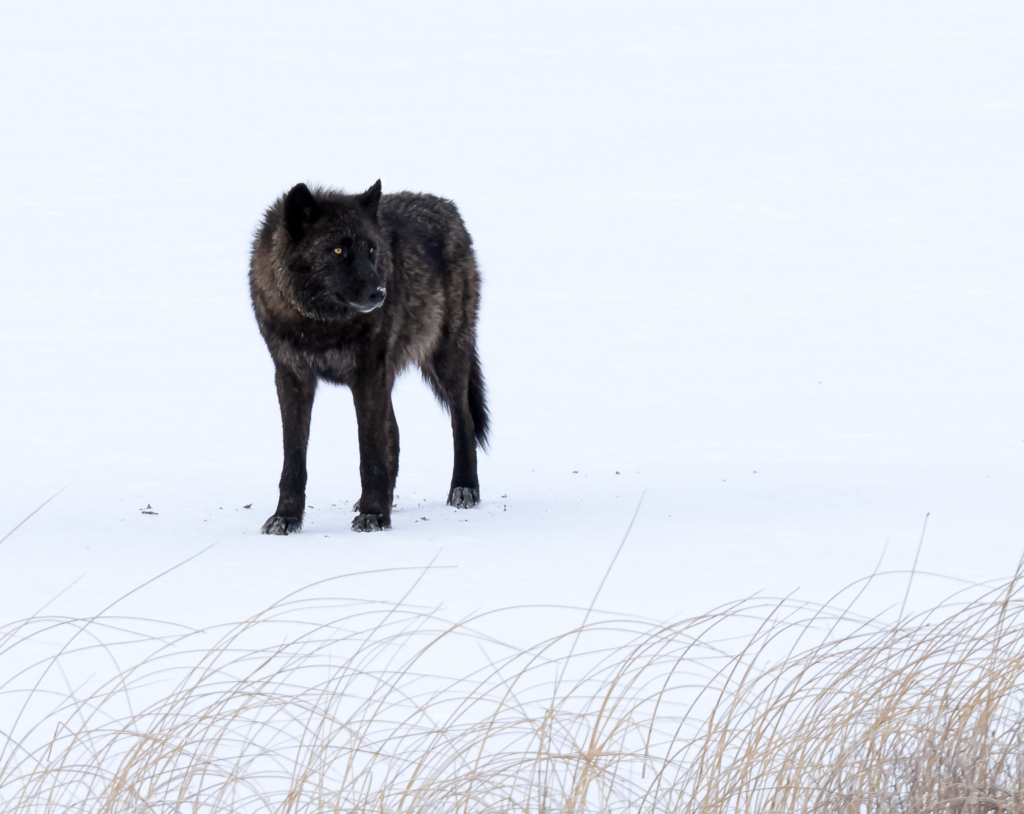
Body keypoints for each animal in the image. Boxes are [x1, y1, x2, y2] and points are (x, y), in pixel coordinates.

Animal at [249, 181, 488, 533]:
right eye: (338, 250)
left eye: (371, 250)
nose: (381, 293)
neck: (320, 324)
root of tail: (448, 207)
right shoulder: (291, 377)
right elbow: (293, 459)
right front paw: (286, 517)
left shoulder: (367, 375)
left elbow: (370, 452)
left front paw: (374, 514)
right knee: (396, 432)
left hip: (446, 359)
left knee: (463, 420)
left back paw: (464, 488)